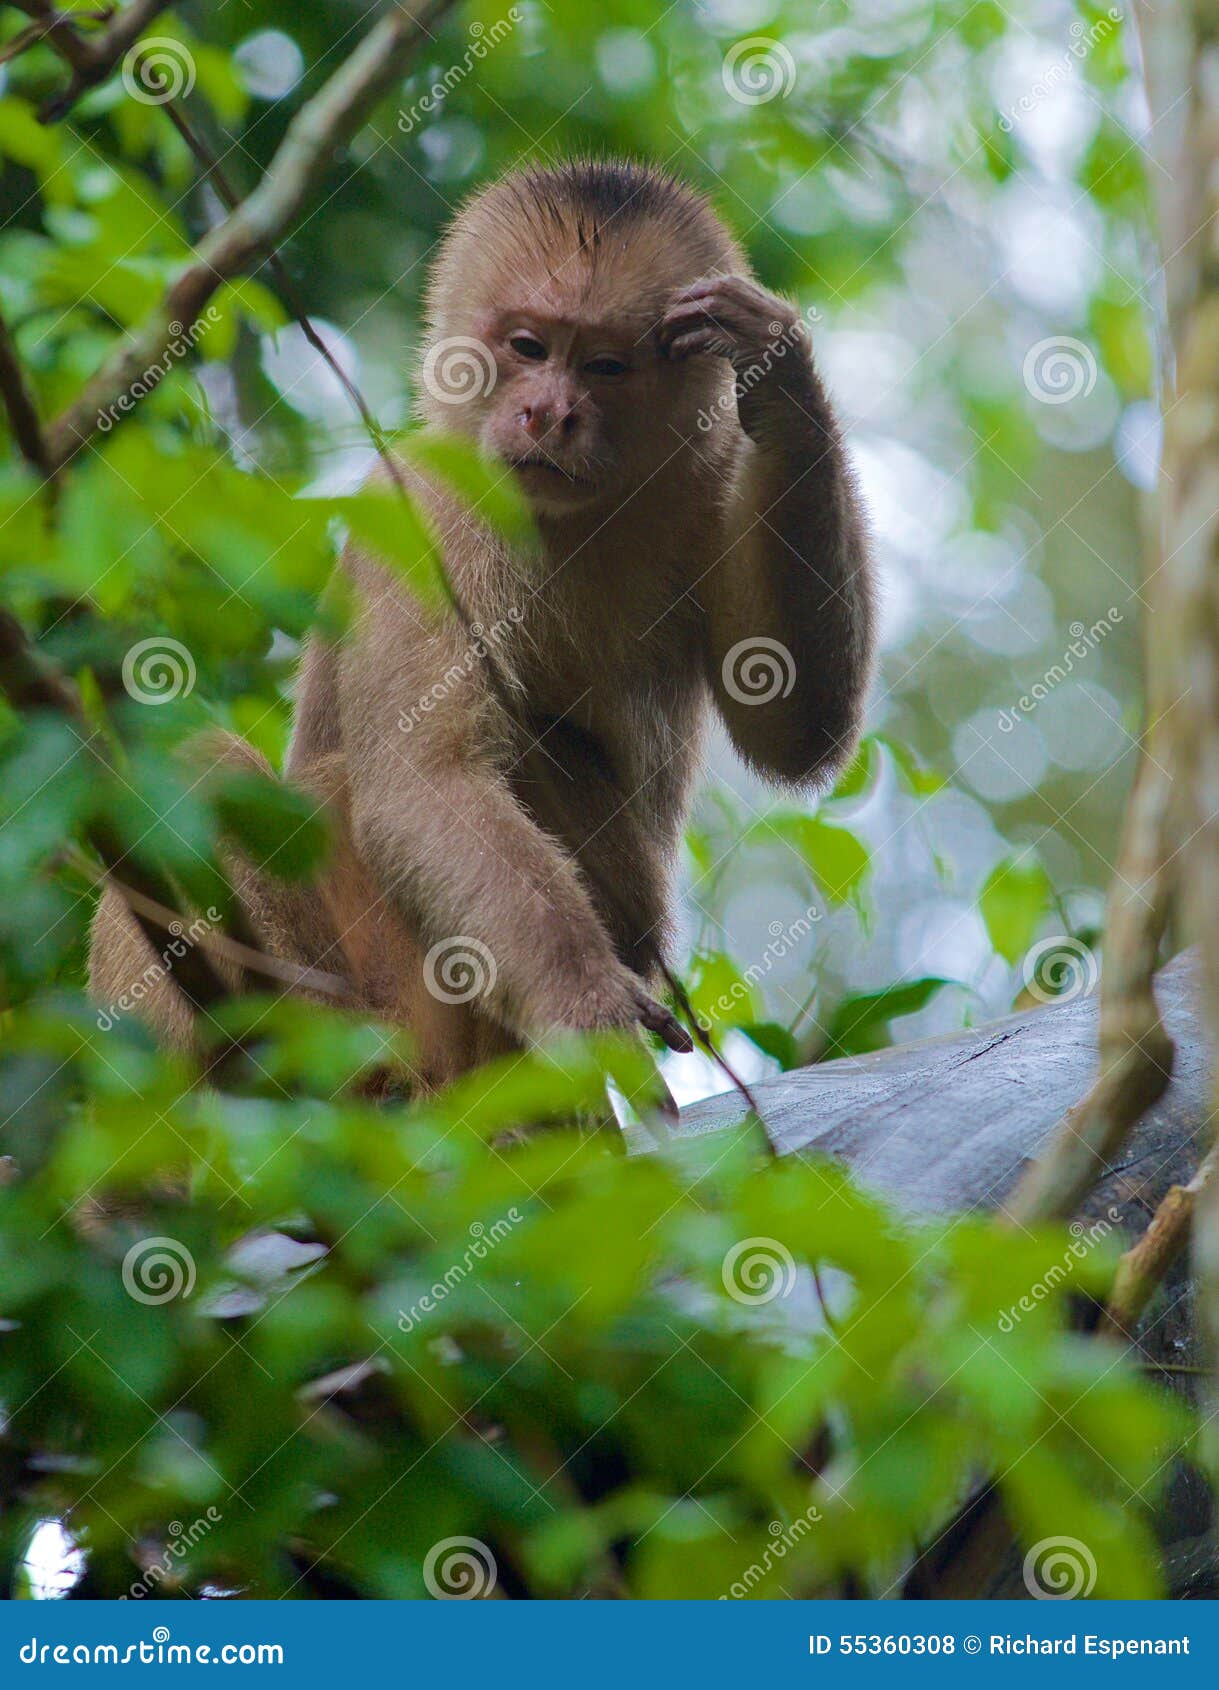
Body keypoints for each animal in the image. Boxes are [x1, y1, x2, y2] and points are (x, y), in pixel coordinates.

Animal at [89, 158, 875, 1098]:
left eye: (604, 365)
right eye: (528, 349)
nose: (547, 414)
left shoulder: (707, 477)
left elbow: (794, 728)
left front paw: (776, 370)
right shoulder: (421, 504)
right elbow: (423, 779)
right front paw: (585, 1003)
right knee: (216, 770)